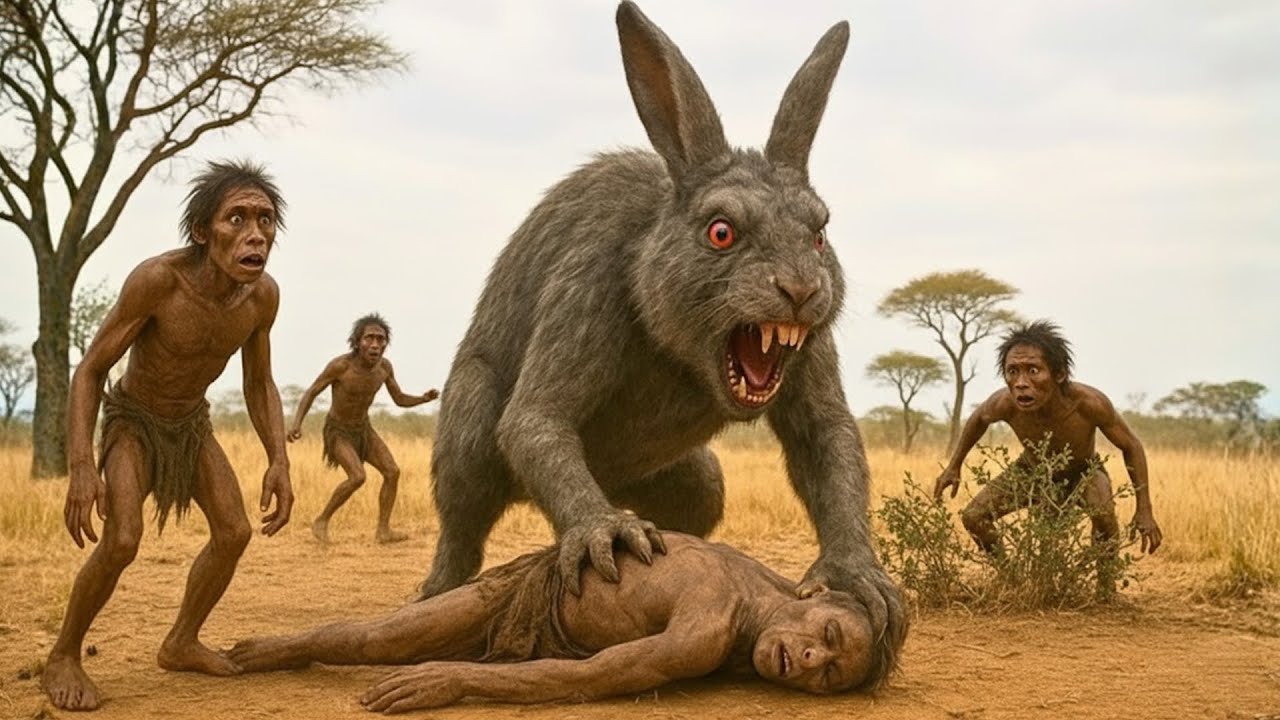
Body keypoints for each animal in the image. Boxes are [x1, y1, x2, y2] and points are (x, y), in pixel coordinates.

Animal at [422, 1, 906, 684]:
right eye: (721, 232)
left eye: (819, 233)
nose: (803, 290)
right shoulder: (589, 278)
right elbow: (535, 418)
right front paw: (604, 533)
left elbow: (827, 435)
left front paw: (857, 576)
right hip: (468, 419)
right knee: (463, 514)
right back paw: (439, 593)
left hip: (687, 480)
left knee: (699, 494)